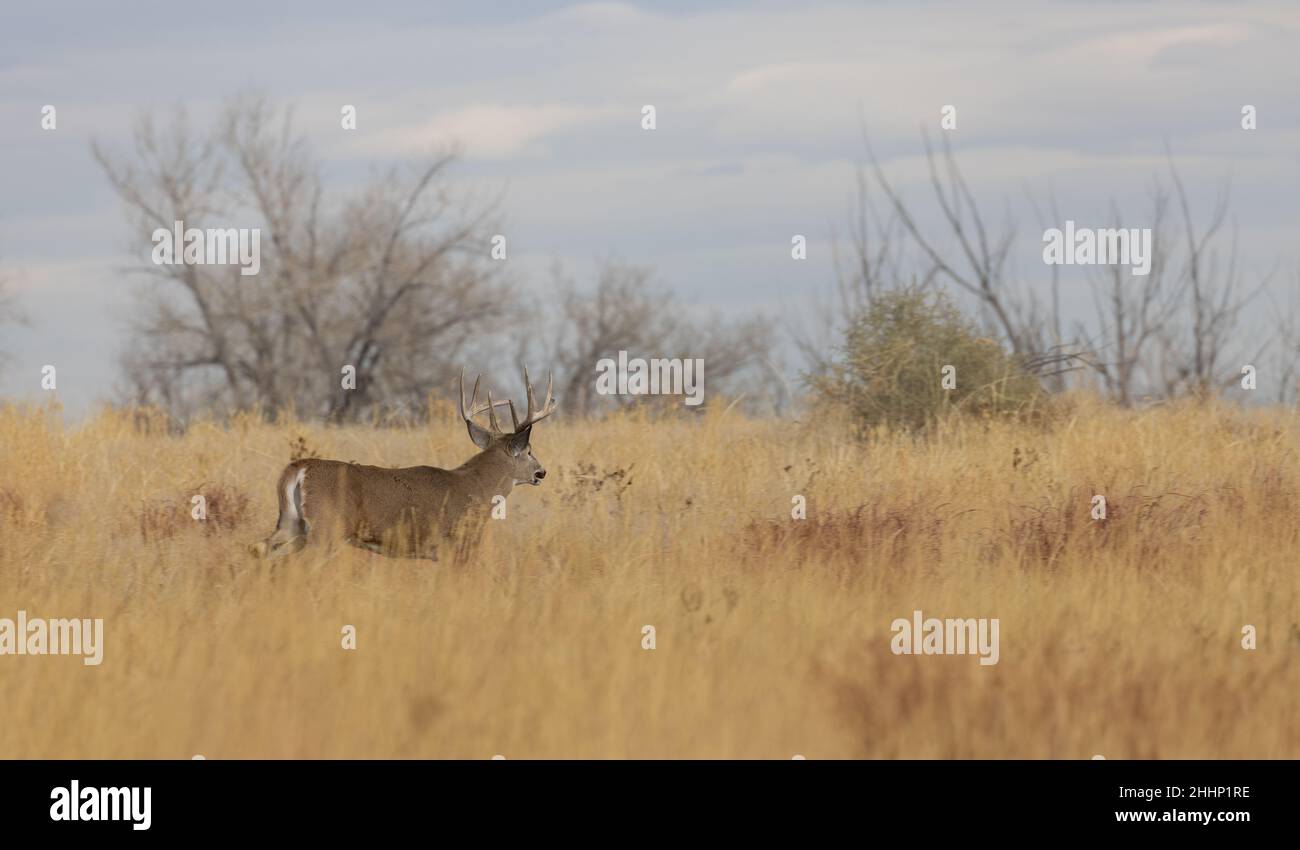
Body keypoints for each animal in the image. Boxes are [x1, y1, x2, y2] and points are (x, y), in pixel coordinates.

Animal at [254, 366, 558, 560]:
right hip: (326, 529)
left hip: (291, 525)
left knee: (260, 550)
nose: (542, 472)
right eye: (529, 451)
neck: (478, 487)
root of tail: (299, 469)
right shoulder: (459, 543)